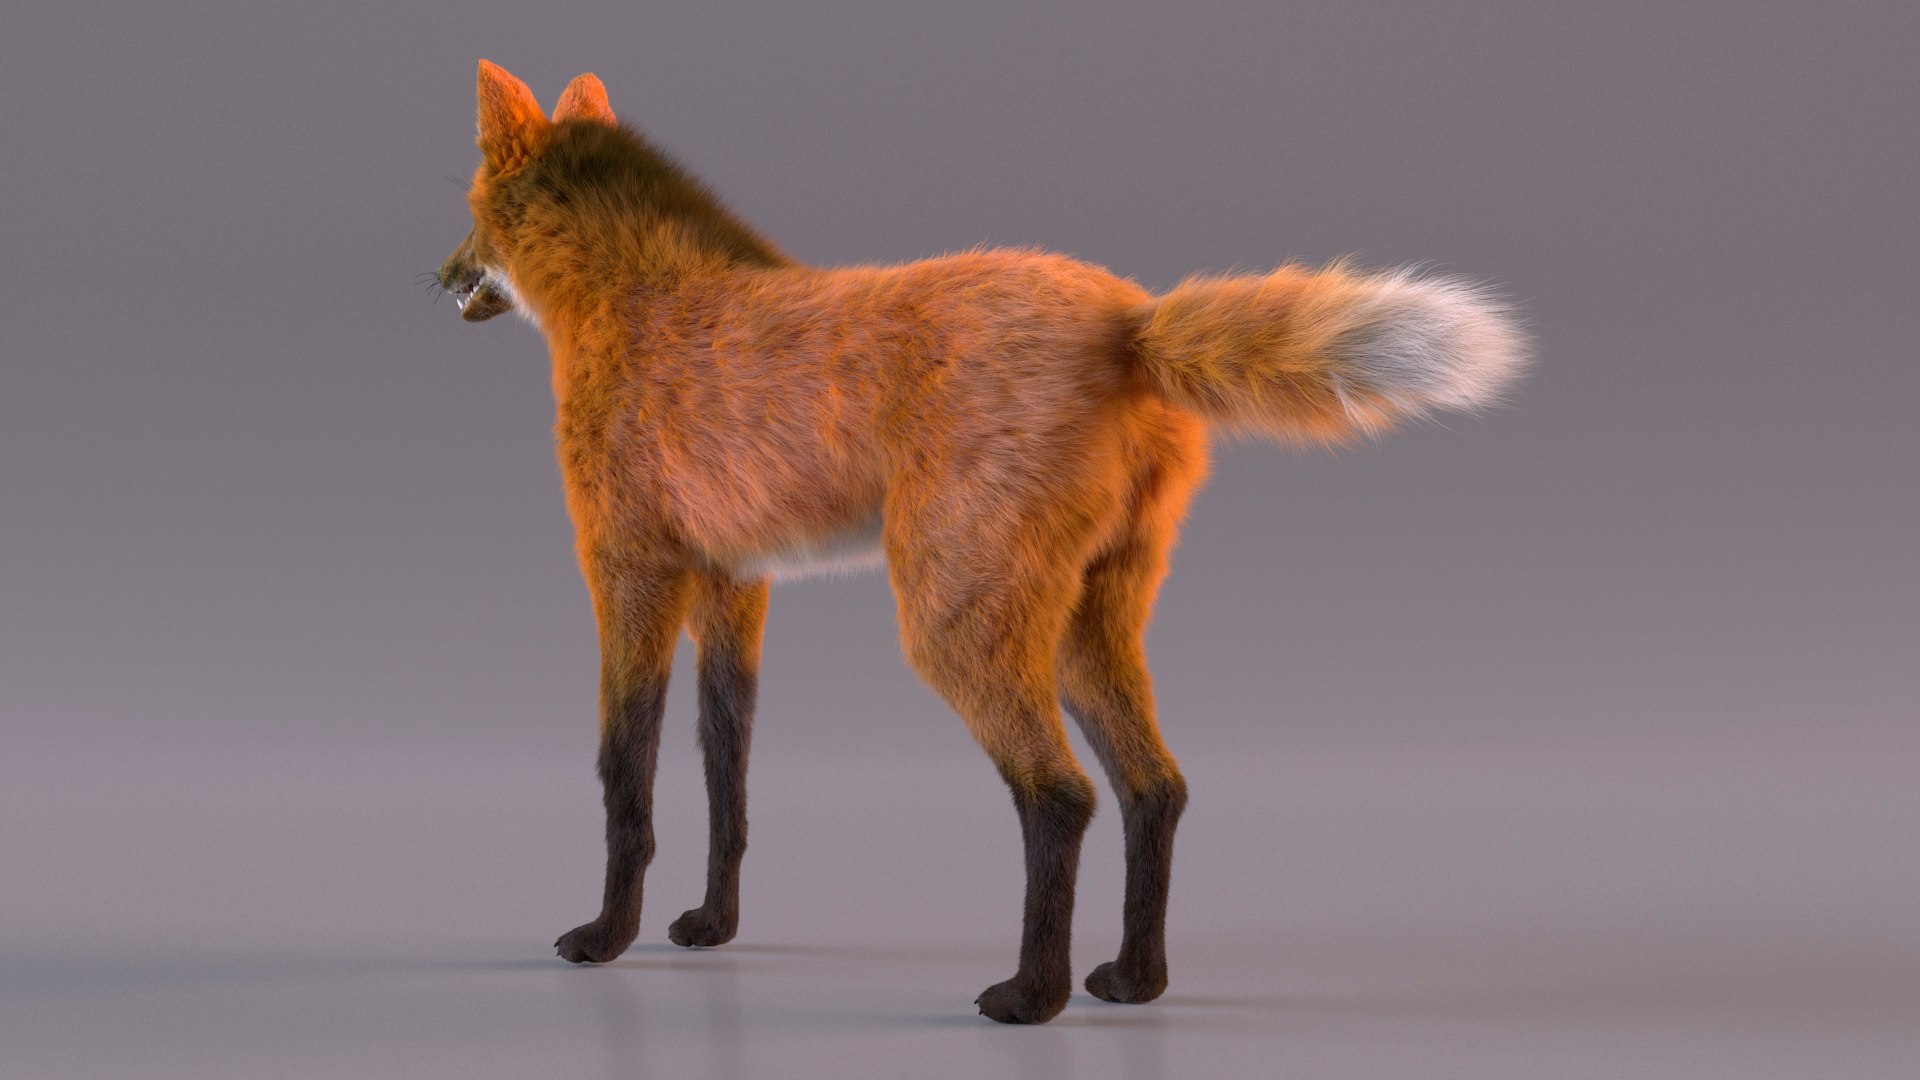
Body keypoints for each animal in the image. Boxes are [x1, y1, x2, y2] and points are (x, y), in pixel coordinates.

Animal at [436, 60, 1525, 1023]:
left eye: (471, 207)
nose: (437, 273)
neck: (636, 305)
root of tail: (1128, 318)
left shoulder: (628, 570)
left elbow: (626, 778)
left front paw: (605, 938)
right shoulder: (733, 583)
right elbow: (727, 779)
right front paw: (711, 926)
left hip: (954, 627)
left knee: (1062, 797)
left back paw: (1032, 998)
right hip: (1082, 628)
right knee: (1156, 787)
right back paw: (1134, 983)